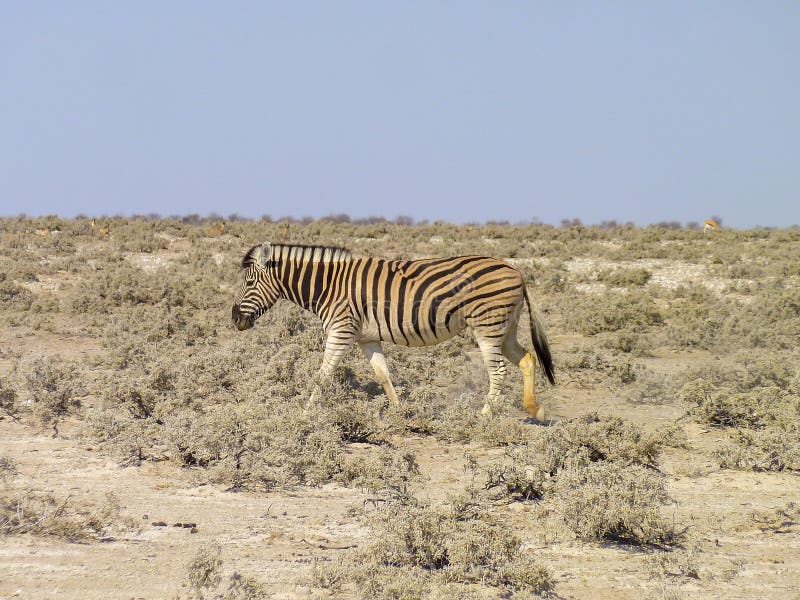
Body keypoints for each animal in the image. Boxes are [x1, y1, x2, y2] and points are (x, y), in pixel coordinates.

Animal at [231, 242, 555, 419]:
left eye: (249, 283)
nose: (235, 319)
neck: (329, 285)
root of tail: (516, 270)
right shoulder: (367, 338)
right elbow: (383, 375)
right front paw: (399, 413)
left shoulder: (341, 330)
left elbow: (323, 374)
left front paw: (305, 413)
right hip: (506, 327)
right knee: (527, 360)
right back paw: (534, 409)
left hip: (488, 325)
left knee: (498, 371)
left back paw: (484, 416)